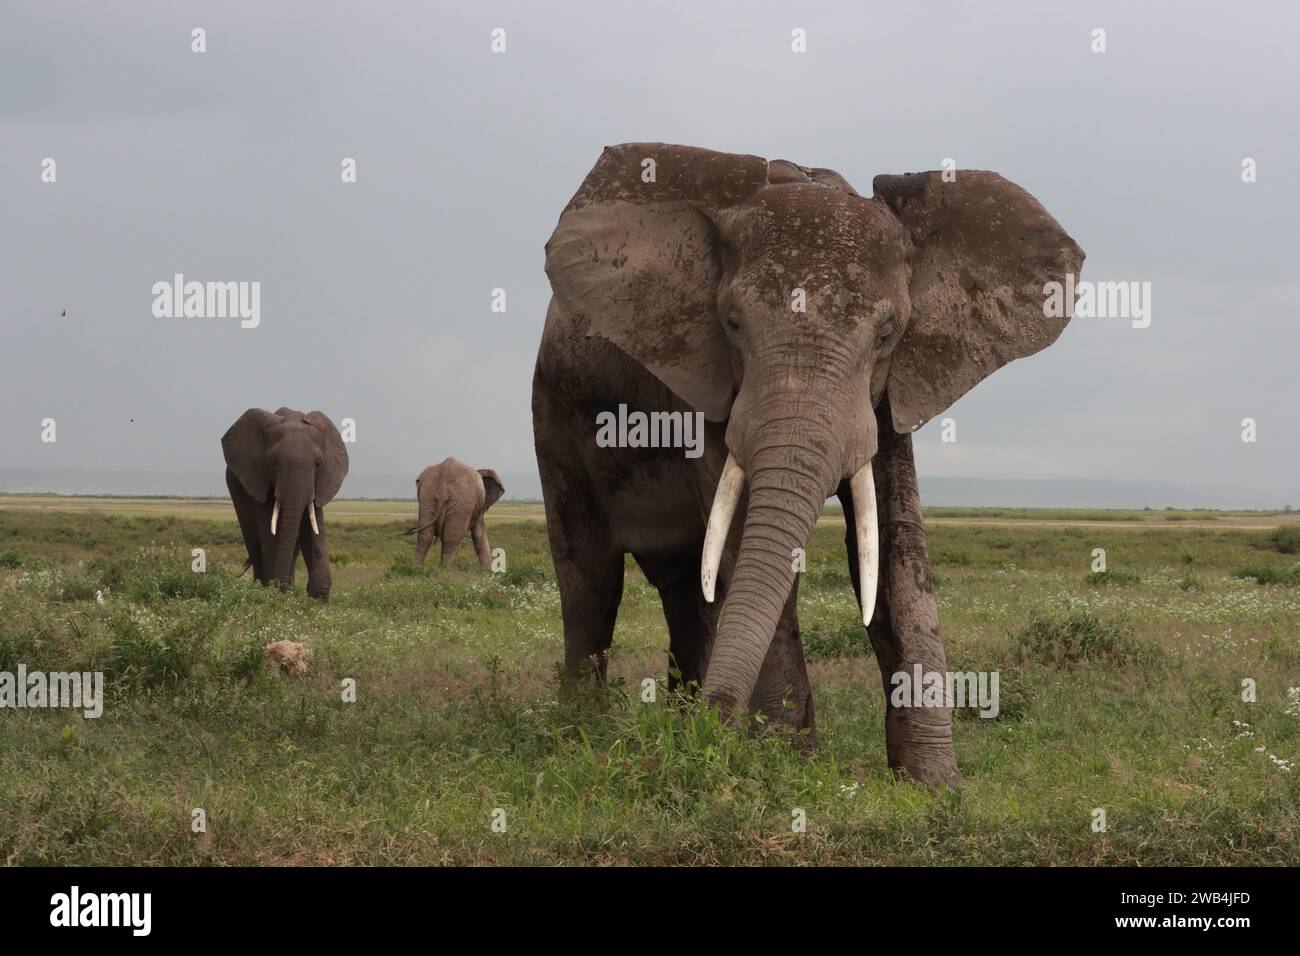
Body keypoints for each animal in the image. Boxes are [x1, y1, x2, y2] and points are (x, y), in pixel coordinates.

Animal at [221, 407, 349, 601]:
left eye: (318, 464)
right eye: (273, 462)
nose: (280, 593)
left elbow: (314, 529)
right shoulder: (258, 478)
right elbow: (270, 534)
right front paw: (275, 595)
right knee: (255, 544)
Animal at [532, 143, 1083, 786]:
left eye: (889, 332)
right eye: (732, 322)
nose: (705, 740)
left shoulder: (891, 390)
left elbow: (897, 547)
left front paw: (934, 786)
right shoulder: (697, 384)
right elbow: (745, 539)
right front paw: (789, 770)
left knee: (687, 590)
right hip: (553, 415)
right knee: (591, 580)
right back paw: (582, 729)